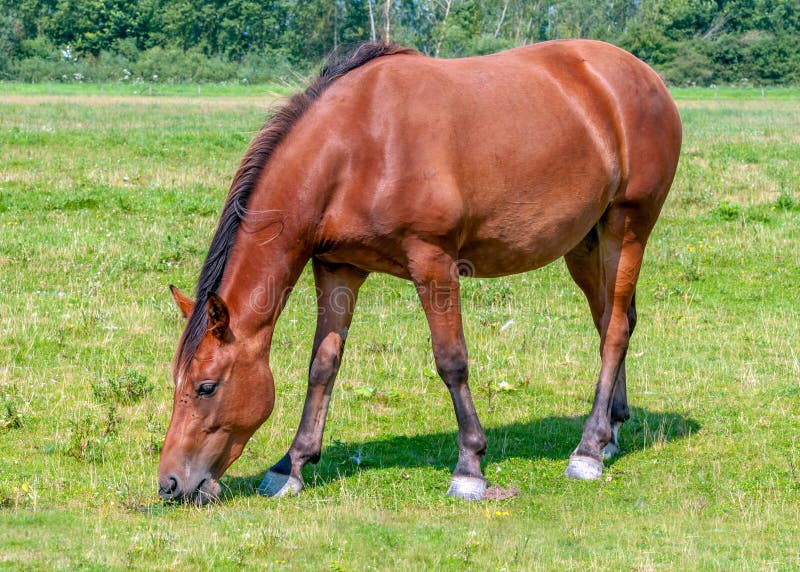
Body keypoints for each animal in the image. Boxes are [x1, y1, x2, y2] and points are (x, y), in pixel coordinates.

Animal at [157, 40, 681, 504]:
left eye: (206, 386)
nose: (170, 484)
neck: (358, 146)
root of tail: (645, 77)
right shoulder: (338, 268)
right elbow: (322, 365)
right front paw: (292, 465)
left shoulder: (433, 262)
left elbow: (451, 360)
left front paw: (469, 467)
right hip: (585, 243)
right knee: (611, 321)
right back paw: (612, 431)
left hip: (627, 229)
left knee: (615, 331)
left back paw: (588, 449)